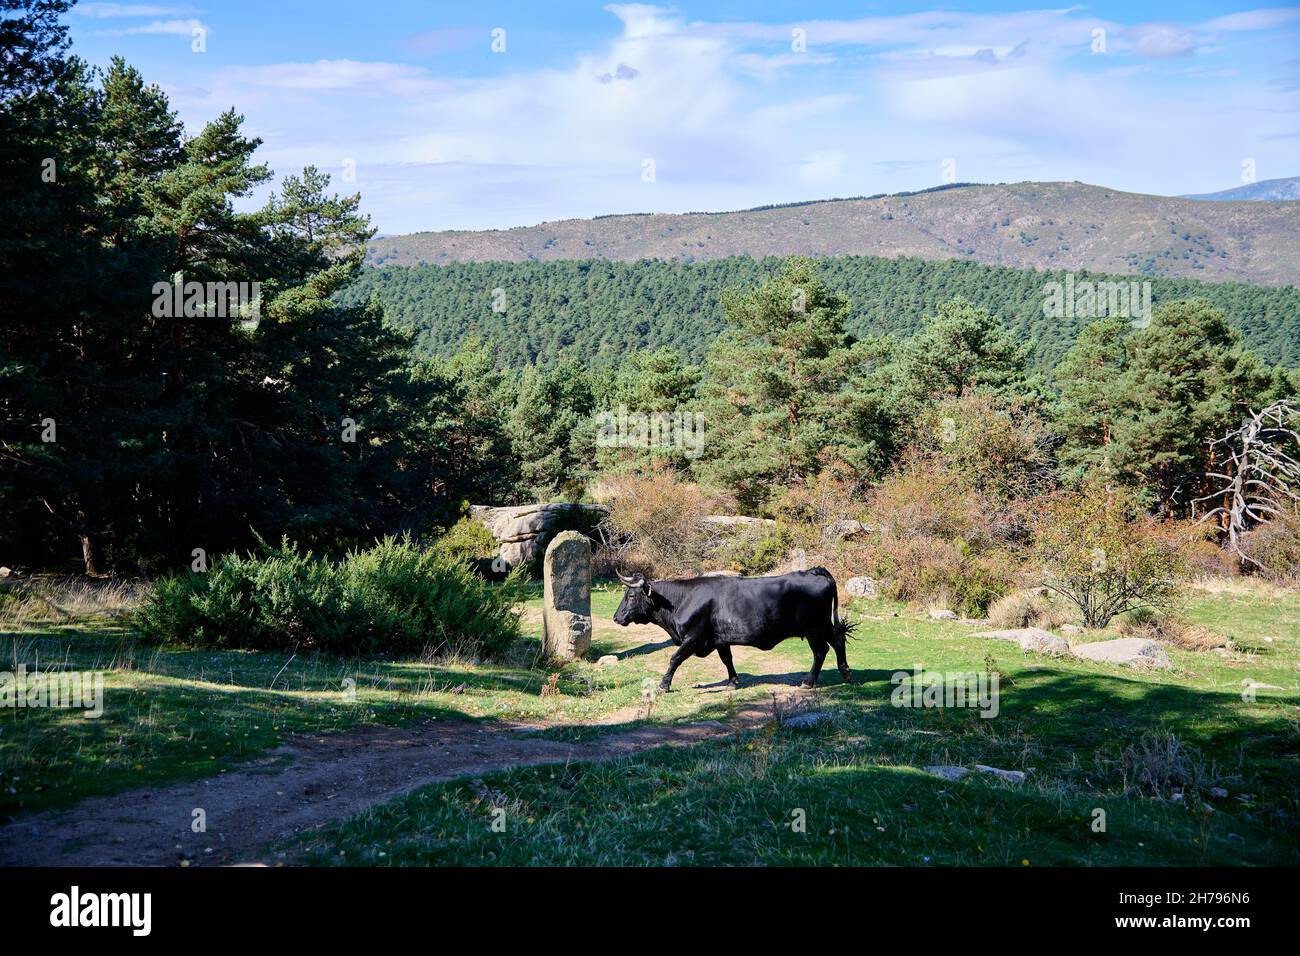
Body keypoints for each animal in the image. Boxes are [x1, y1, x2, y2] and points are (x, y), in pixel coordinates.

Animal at [612, 567, 853, 692]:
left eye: (630, 596)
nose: (616, 617)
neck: (681, 600)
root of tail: (815, 571)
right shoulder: (720, 638)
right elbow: (727, 659)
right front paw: (733, 682)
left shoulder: (694, 637)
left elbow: (675, 658)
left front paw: (664, 685)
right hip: (824, 625)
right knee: (838, 641)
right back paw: (846, 672)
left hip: (813, 628)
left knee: (821, 651)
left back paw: (808, 682)